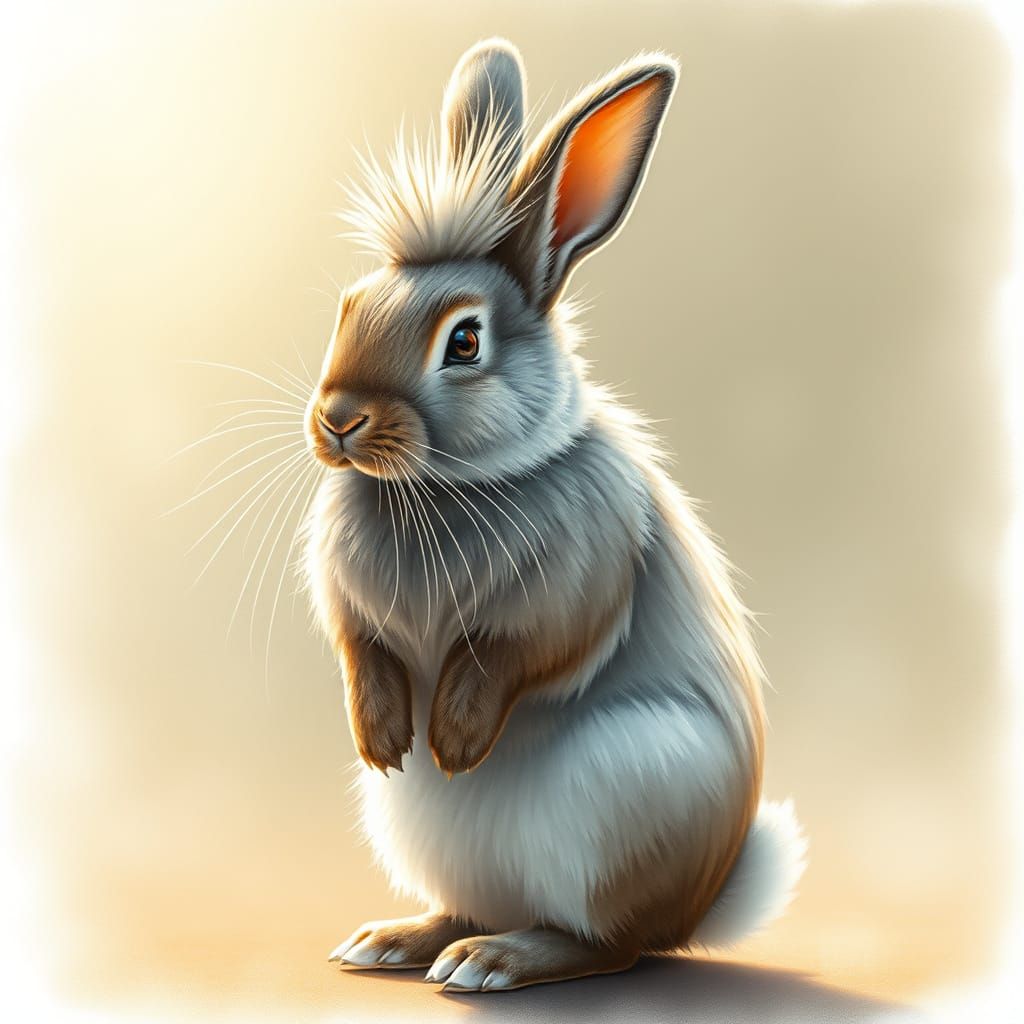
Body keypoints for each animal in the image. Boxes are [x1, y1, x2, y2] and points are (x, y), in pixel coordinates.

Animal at [302, 38, 806, 992]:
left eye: (464, 341)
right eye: (349, 305)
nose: (338, 419)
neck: (437, 486)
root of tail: (700, 905)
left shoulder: (579, 581)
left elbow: (518, 651)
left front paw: (455, 742)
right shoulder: (352, 616)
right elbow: (361, 649)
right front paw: (383, 737)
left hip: (622, 795)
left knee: (609, 944)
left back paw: (494, 960)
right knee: (474, 906)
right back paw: (397, 941)